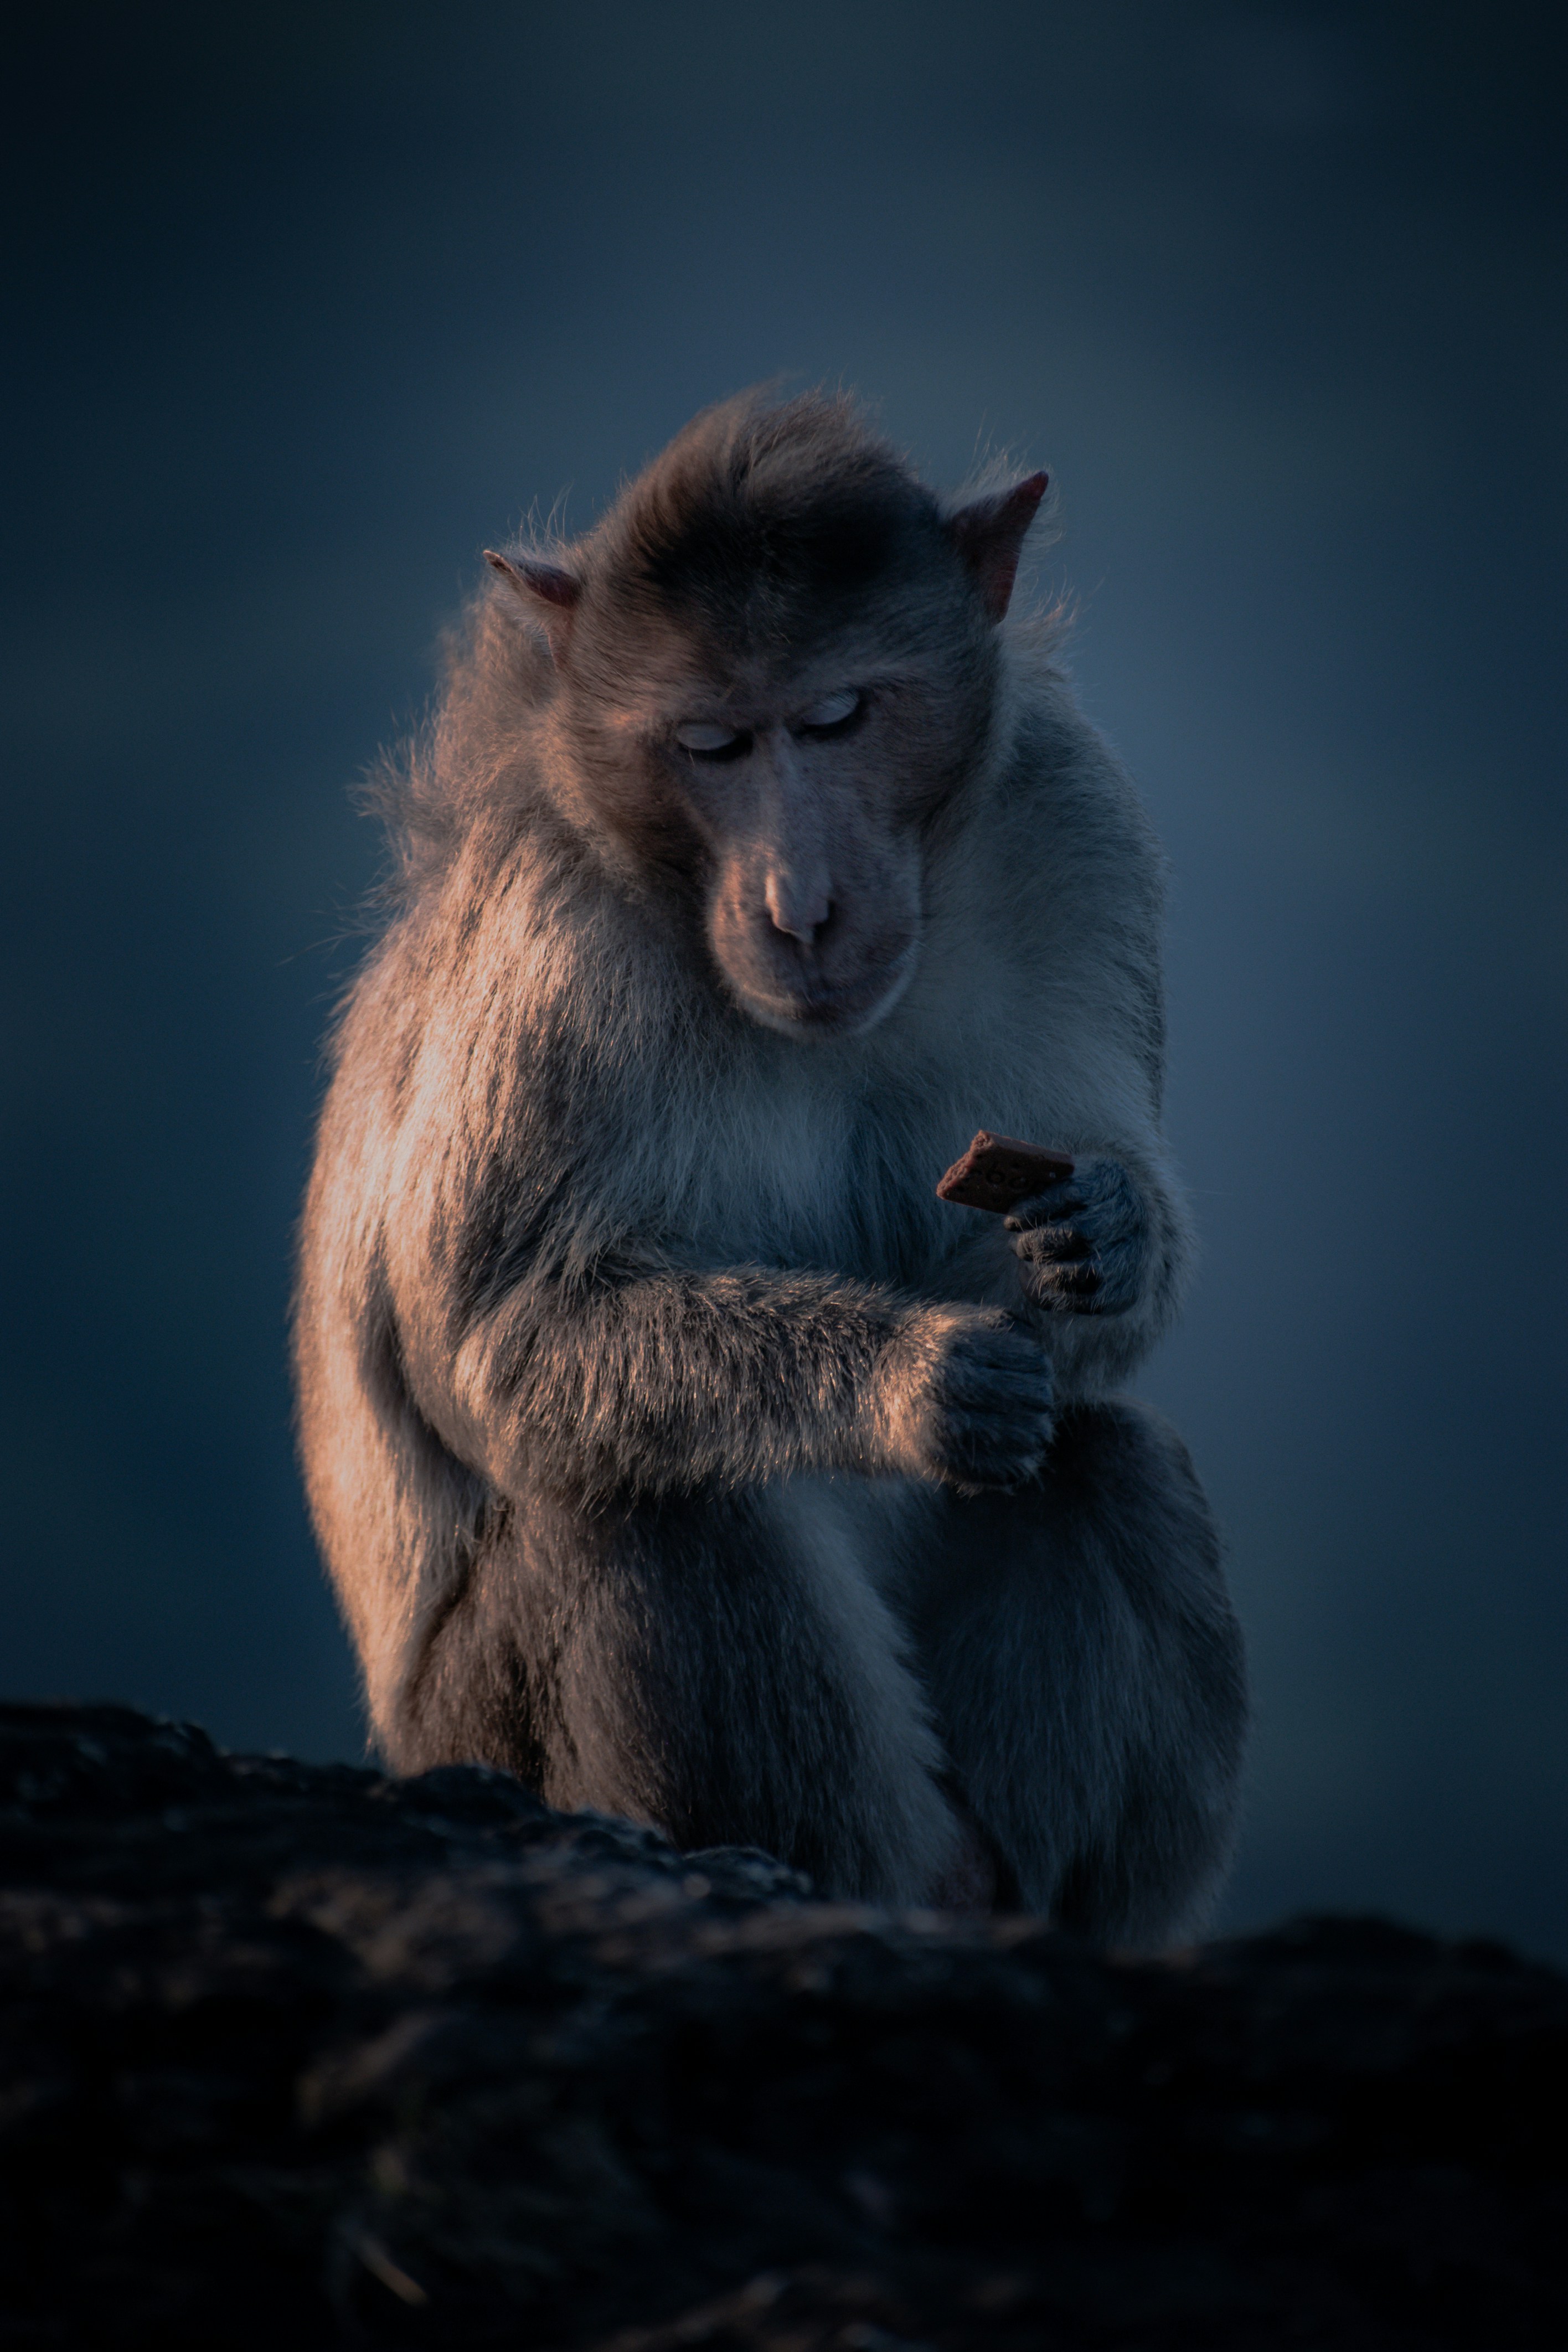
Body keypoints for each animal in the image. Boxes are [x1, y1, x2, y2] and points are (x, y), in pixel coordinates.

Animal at [293, 389, 1247, 1946]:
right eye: (711, 744)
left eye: (837, 717)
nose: (801, 907)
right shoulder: (555, 943)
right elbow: (502, 1338)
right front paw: (913, 1376)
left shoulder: (1072, 817)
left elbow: (1081, 1293)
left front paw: (1104, 1233)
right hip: (481, 1736)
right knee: (642, 1496)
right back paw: (847, 1882)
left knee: (1107, 1457)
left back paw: (1030, 1912)